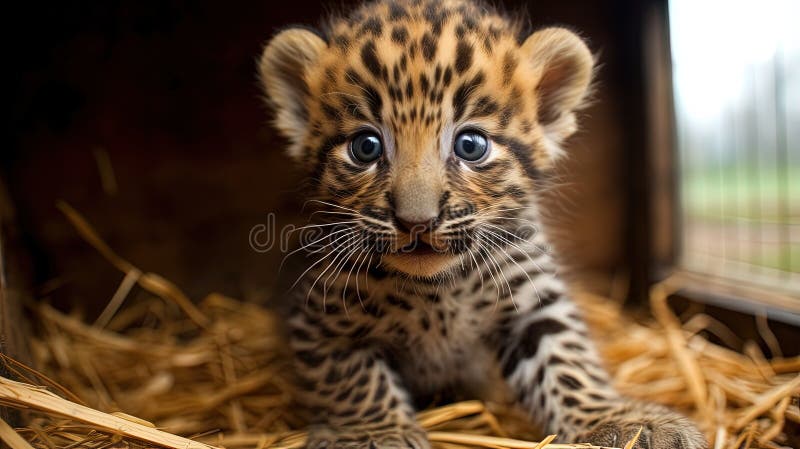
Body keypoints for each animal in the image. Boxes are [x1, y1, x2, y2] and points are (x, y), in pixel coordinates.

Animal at [257, 1, 708, 448]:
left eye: (470, 145)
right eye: (365, 147)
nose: (416, 221)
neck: (436, 291)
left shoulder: (532, 298)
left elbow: (567, 359)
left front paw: (619, 421)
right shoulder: (322, 317)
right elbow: (354, 380)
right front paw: (375, 433)